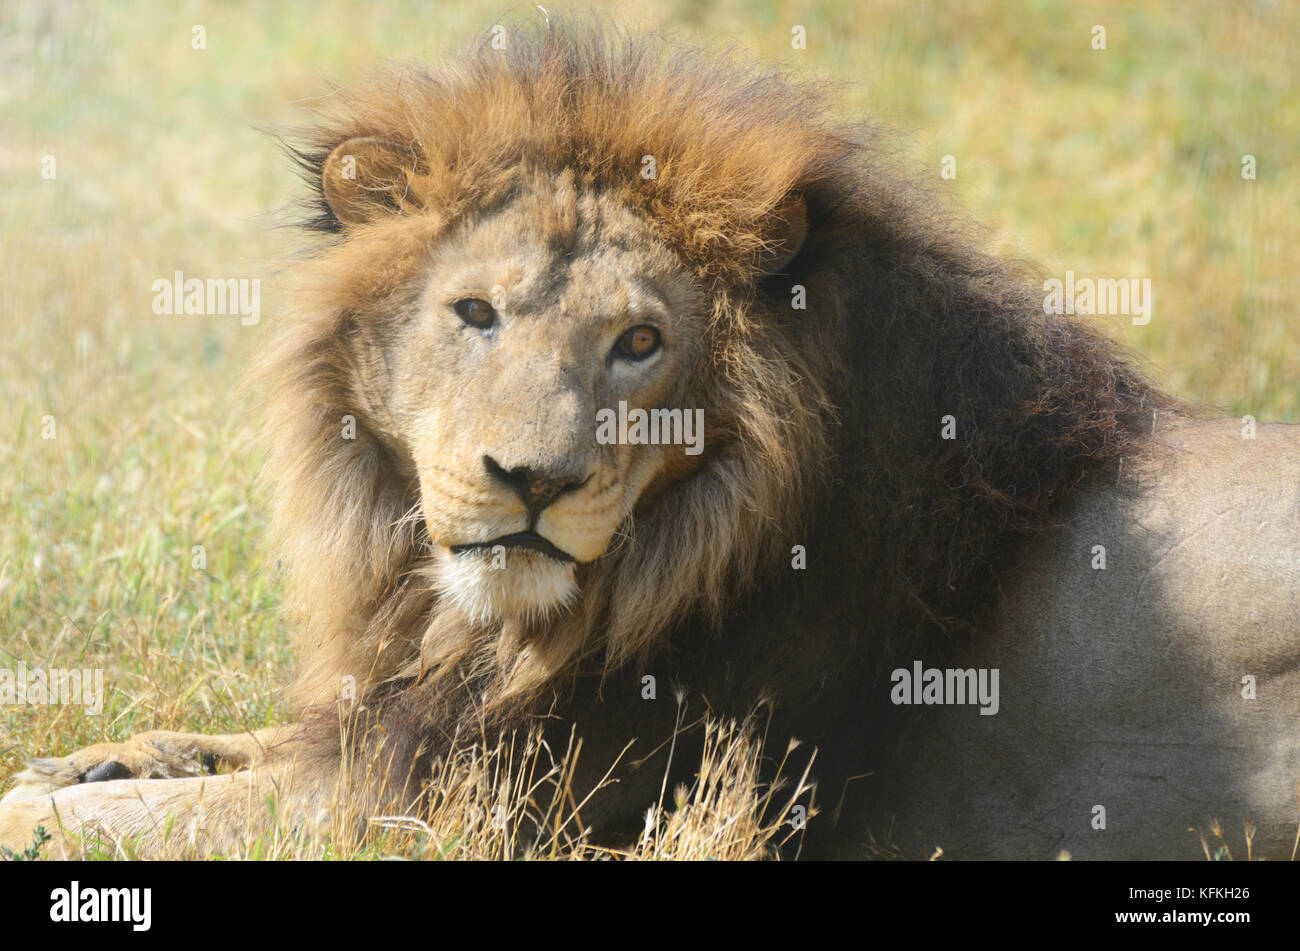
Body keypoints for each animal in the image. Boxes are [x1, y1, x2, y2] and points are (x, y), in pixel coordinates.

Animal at [2, 20, 1297, 860]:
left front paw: (48, 811)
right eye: (475, 313)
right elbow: (255, 746)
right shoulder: (419, 722)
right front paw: (100, 757)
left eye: (637, 342)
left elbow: (211, 817)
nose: (530, 481)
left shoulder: (489, 806)